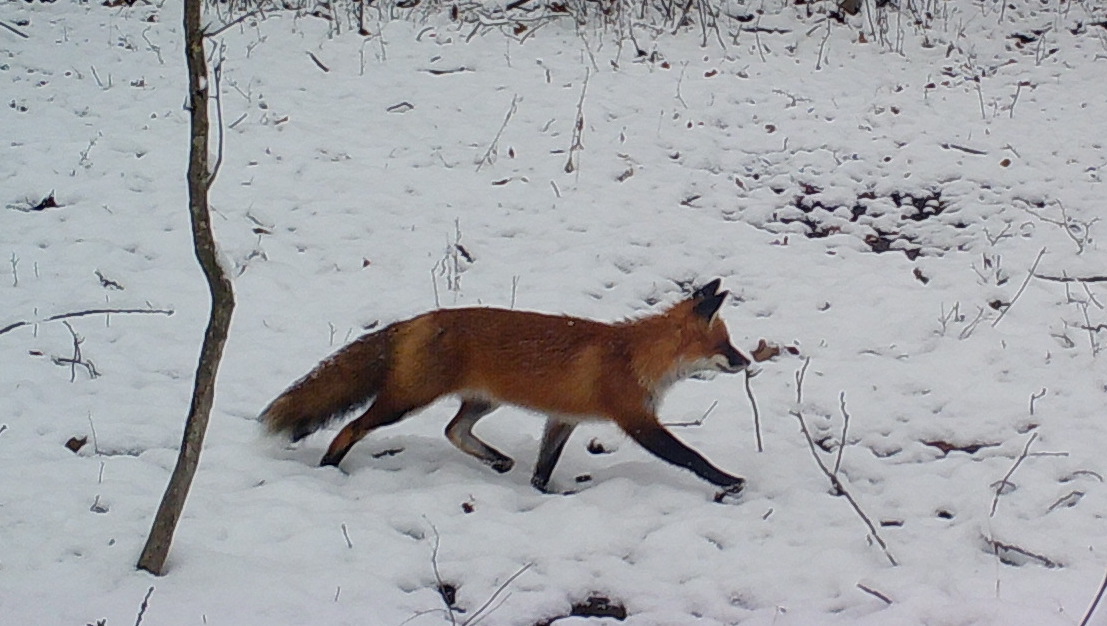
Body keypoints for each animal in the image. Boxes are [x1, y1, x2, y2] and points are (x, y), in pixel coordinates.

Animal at [260, 278, 751, 496]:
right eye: (725, 344)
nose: (747, 361)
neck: (635, 356)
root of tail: (419, 319)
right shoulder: (636, 420)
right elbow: (689, 456)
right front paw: (729, 482)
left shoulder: (563, 418)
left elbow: (542, 468)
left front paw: (542, 493)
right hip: (406, 400)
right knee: (352, 427)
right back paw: (329, 467)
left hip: (481, 402)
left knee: (453, 431)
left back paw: (497, 461)